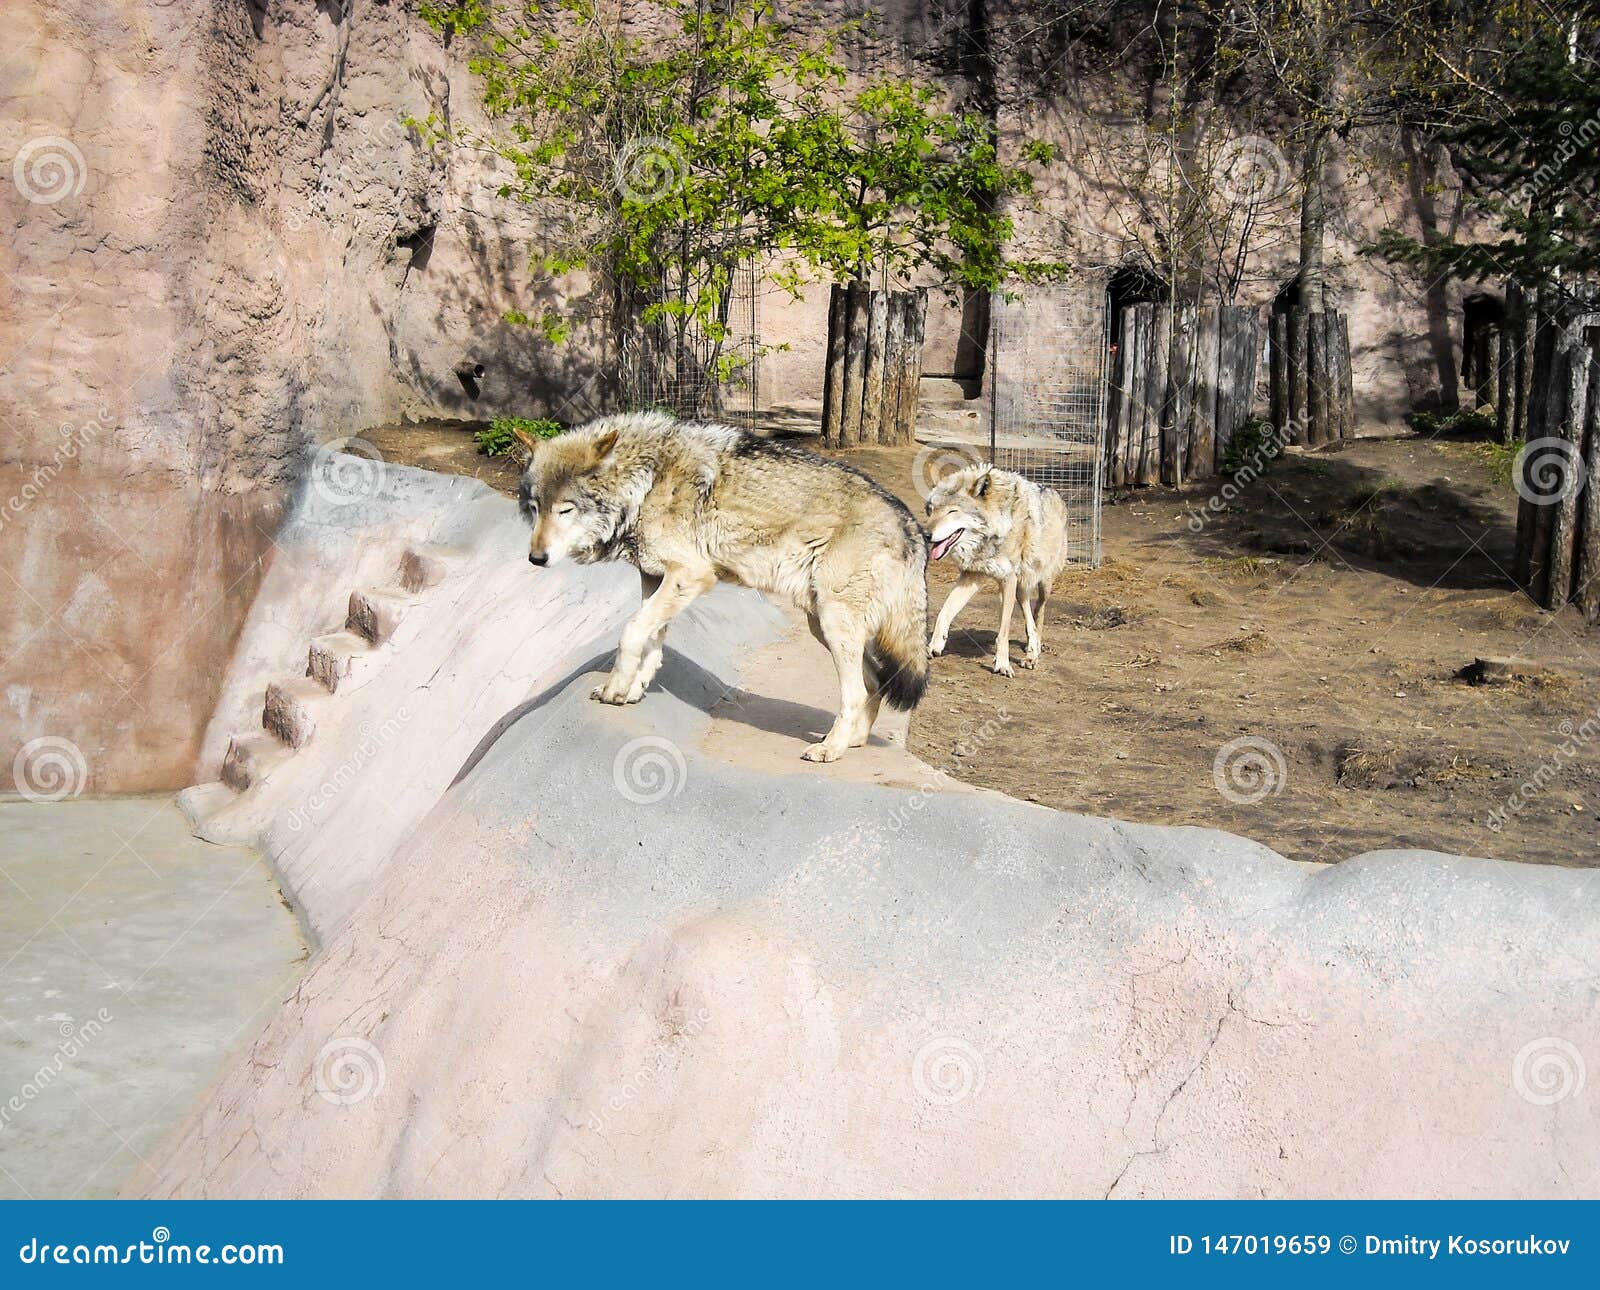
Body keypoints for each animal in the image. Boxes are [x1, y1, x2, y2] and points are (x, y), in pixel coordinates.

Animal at [515, 411, 929, 762]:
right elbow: (652, 641)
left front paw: (616, 689)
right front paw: (634, 689)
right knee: (876, 681)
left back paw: (831, 748)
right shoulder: (655, 578)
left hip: (833, 622)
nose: (536, 558)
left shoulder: (692, 574)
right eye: (535, 508)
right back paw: (855, 740)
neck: (646, 484)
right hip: (822, 625)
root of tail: (911, 524)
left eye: (565, 510)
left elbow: (631, 632)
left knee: (856, 691)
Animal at [924, 463, 1070, 677]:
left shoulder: (1008, 578)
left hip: (1042, 582)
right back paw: (1031, 647)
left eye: (952, 511)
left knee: (1039, 611)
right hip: (1019, 588)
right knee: (1027, 611)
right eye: (931, 510)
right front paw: (934, 645)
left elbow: (1004, 631)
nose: (926, 534)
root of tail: (1057, 493)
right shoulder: (973, 575)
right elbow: (945, 611)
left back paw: (1033, 655)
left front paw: (1002, 664)